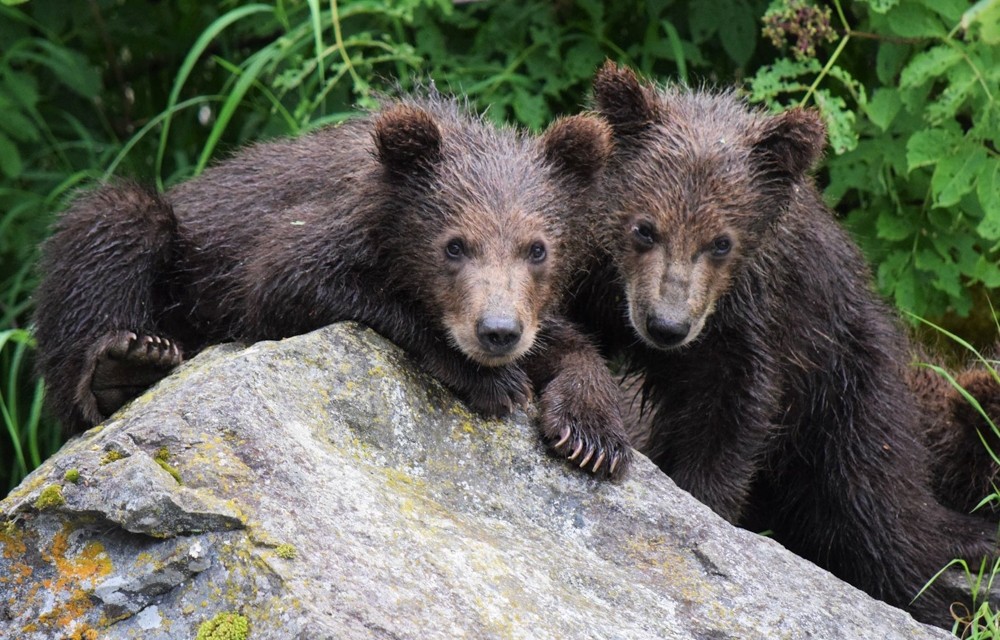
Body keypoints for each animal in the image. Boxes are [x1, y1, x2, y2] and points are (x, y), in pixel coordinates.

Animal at [32, 92, 632, 478]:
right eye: (454, 245)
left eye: (538, 248)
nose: (497, 332)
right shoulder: (306, 240)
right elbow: (295, 284)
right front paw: (494, 382)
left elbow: (571, 344)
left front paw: (592, 435)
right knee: (114, 226)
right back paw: (128, 361)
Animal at [571, 61, 997, 625]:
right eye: (644, 228)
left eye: (721, 241)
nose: (666, 325)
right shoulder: (597, 276)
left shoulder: (758, 329)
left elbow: (733, 419)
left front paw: (705, 503)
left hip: (854, 407)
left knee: (882, 523)